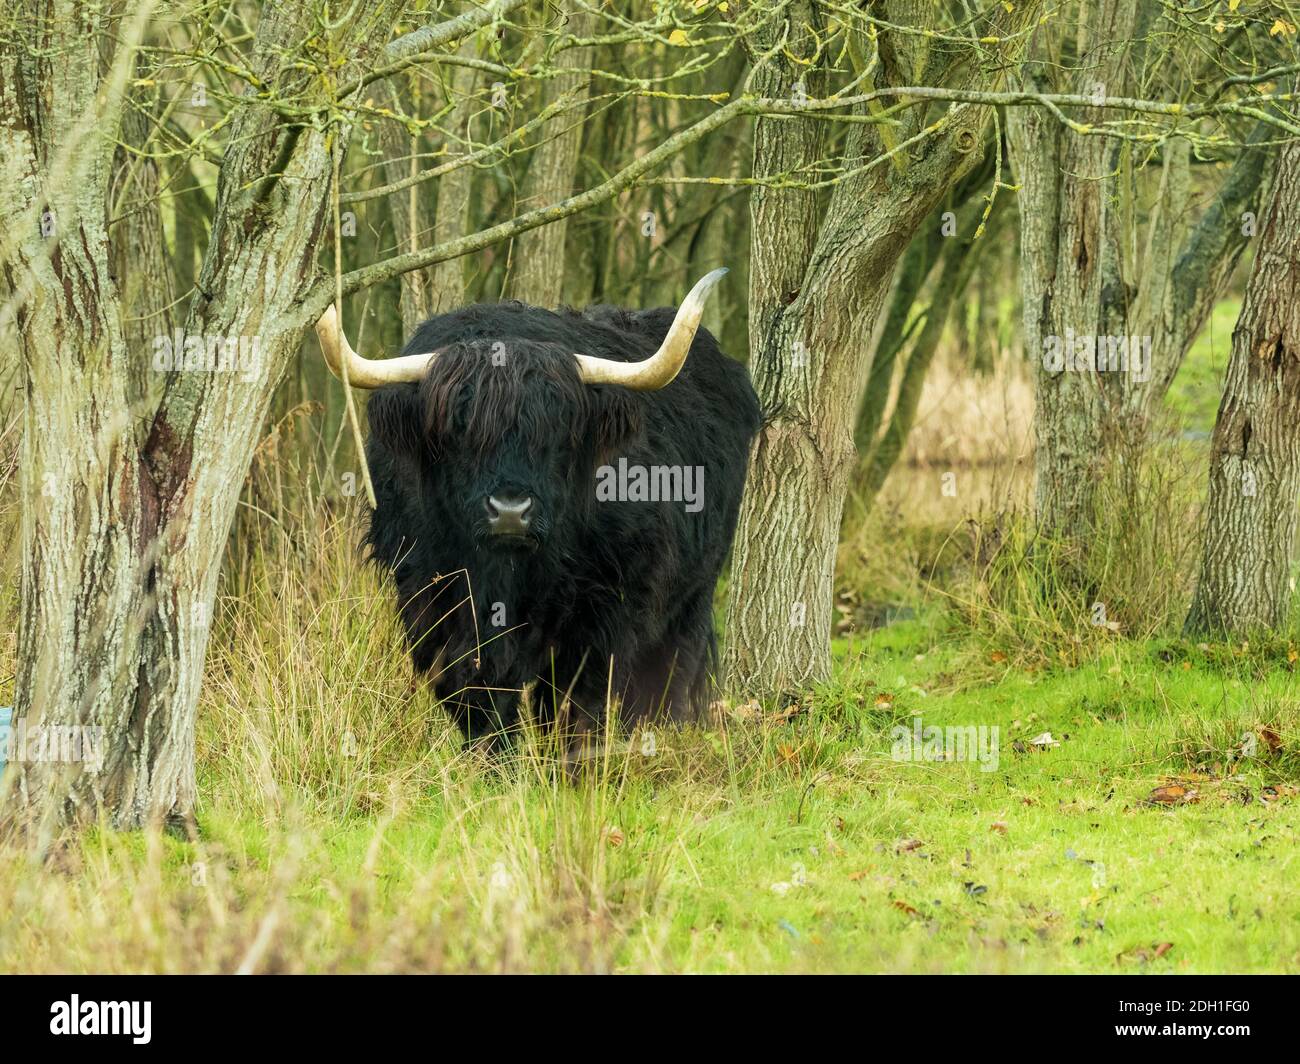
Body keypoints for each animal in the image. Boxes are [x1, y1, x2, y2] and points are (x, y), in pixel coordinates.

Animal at [315, 270, 761, 749]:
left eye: (559, 431)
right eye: (457, 428)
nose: (510, 510)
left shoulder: (602, 612)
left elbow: (575, 704)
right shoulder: (432, 602)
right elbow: (479, 700)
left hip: (694, 590)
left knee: (670, 673)